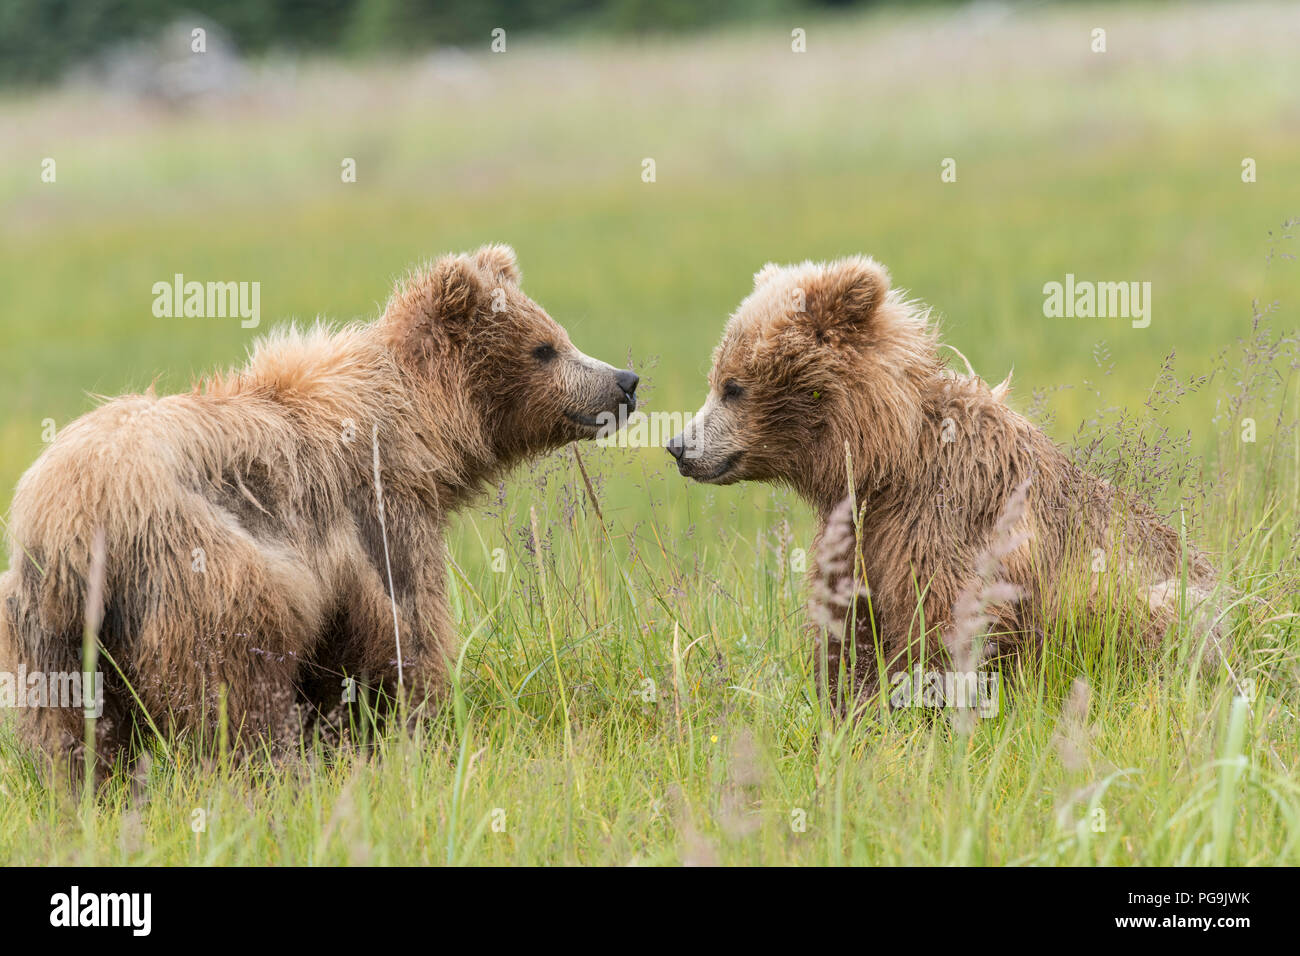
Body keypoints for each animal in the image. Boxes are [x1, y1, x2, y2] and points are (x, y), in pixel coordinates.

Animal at [0, 243, 639, 772]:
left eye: (560, 335)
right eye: (544, 348)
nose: (625, 381)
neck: (417, 428)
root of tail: (73, 517)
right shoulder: (374, 515)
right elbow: (406, 632)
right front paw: (417, 731)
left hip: (47, 632)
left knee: (73, 729)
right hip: (205, 574)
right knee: (233, 691)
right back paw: (265, 770)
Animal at [666, 256, 1223, 708]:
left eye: (732, 385)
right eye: (718, 378)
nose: (678, 446)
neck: (889, 460)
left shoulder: (948, 519)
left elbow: (941, 620)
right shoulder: (862, 534)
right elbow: (850, 626)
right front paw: (848, 704)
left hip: (1145, 598)